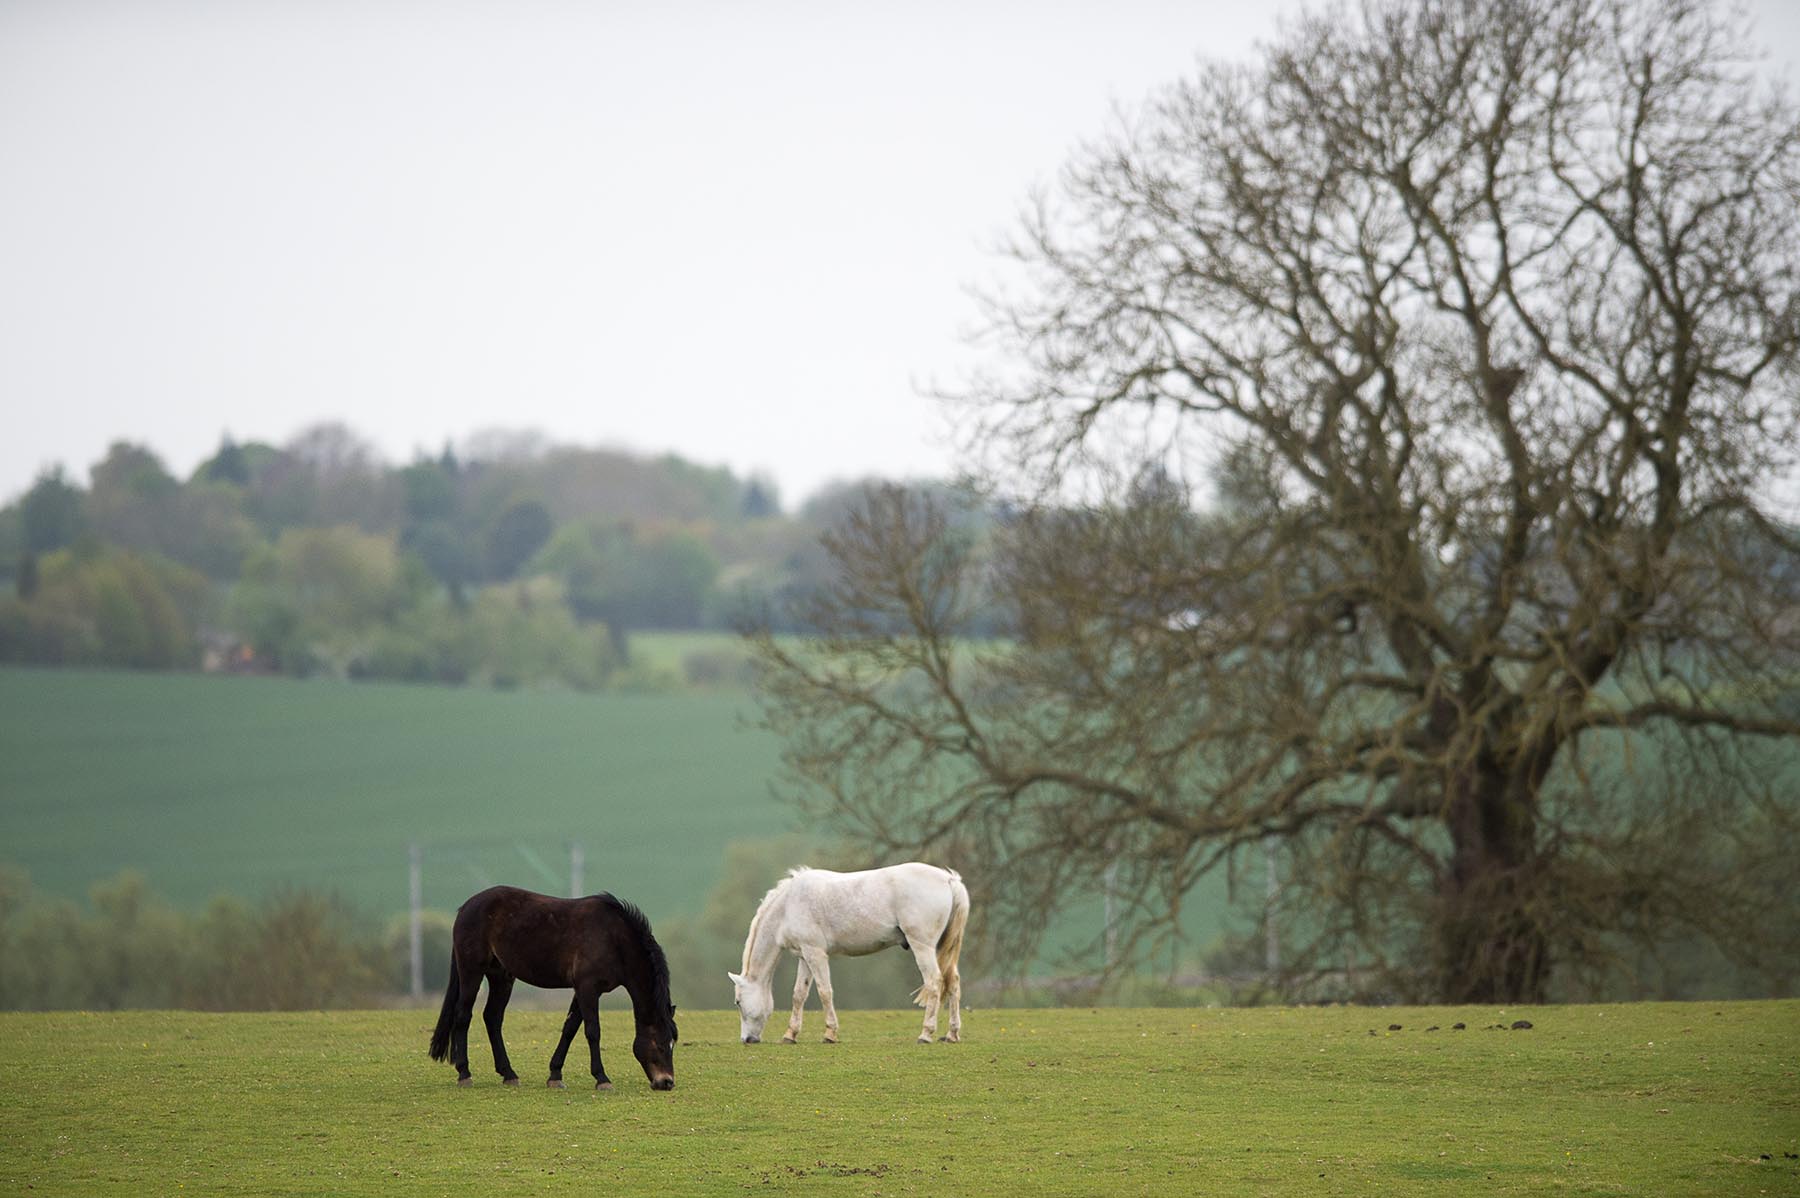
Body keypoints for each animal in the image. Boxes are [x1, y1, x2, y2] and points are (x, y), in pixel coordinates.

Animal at [428, 885, 678, 1091]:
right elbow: (592, 1031)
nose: (666, 1082)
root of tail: (466, 907)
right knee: (463, 1015)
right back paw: (464, 1073)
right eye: (660, 1044)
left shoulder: (583, 991)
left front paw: (555, 1075)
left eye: (672, 1044)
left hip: (501, 976)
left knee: (492, 1017)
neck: (613, 939)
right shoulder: (588, 988)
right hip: (471, 971)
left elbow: (570, 1028)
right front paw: (602, 1078)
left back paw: (508, 1073)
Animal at [727, 863, 969, 1045]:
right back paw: (952, 1034)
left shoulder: (816, 954)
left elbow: (825, 992)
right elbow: (799, 995)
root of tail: (949, 879)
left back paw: (926, 1034)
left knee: (934, 982)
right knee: (954, 982)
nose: (747, 1039)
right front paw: (790, 1034)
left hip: (922, 946)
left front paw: (830, 1033)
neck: (789, 905)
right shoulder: (805, 956)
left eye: (738, 1002)